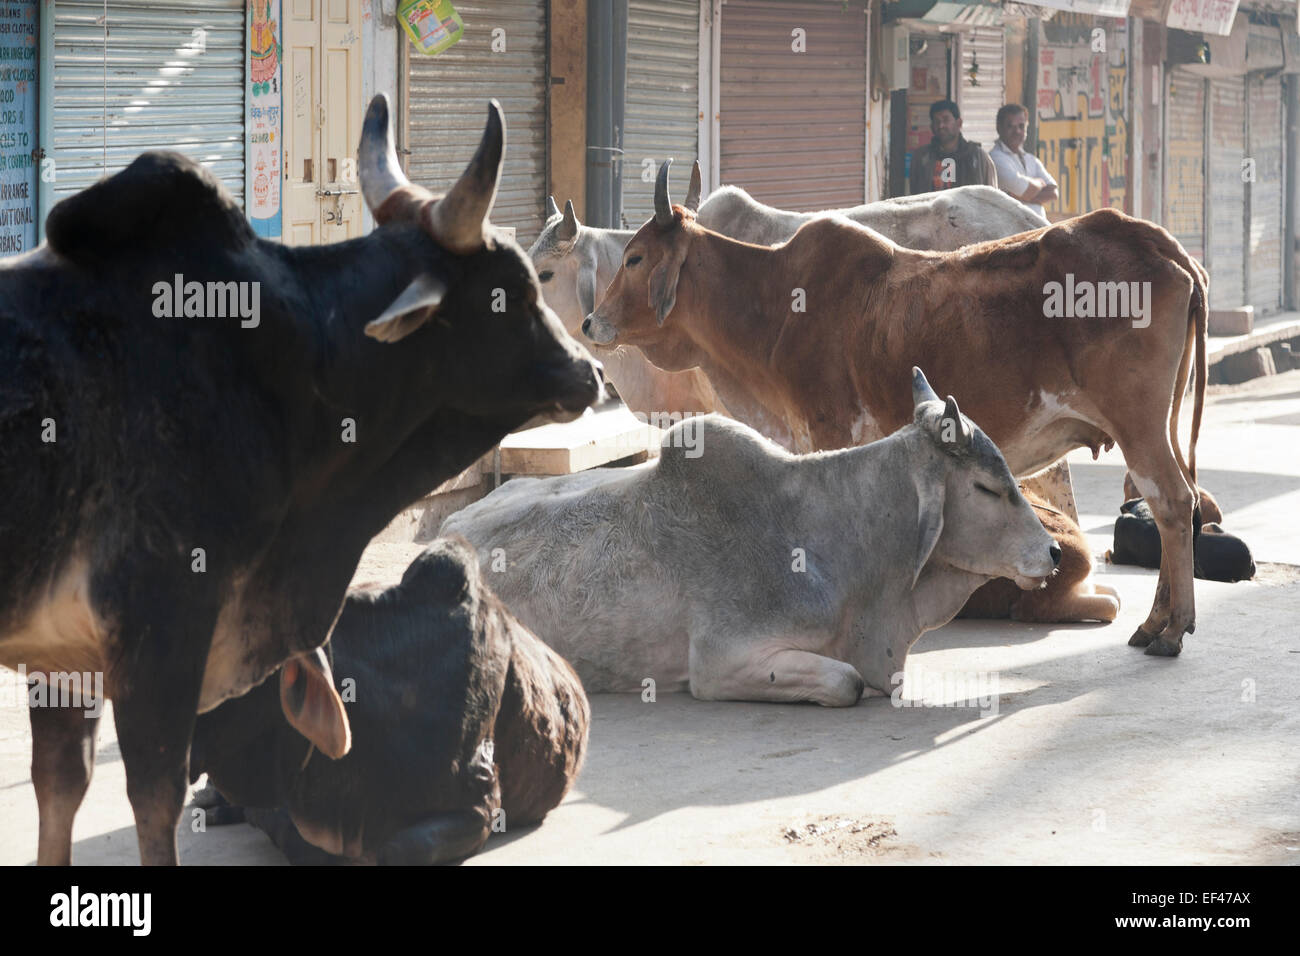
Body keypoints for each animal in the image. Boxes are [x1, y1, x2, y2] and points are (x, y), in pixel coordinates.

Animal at [582, 161, 1208, 658]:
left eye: (635, 257)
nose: (590, 322)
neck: (775, 307)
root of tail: (1156, 241)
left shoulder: (830, 429)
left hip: (1139, 424)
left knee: (1173, 504)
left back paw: (1171, 629)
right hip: (1161, 423)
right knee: (1175, 503)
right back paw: (1154, 623)